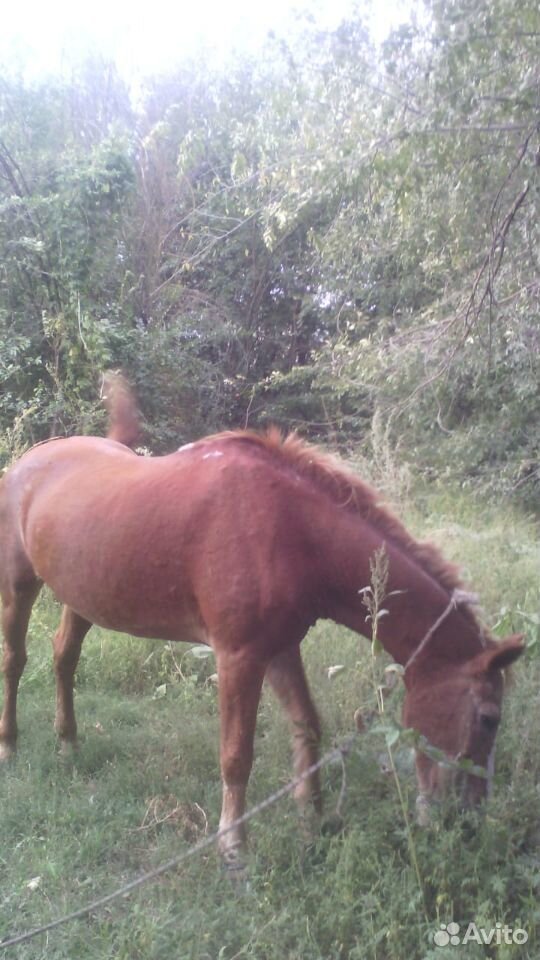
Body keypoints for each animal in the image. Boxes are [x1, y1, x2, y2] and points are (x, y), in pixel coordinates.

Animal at [0, 380, 524, 867]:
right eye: (488, 718)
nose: (469, 823)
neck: (291, 529)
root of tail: (32, 459)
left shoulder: (280, 647)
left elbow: (308, 725)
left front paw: (312, 818)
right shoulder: (238, 656)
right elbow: (236, 754)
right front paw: (234, 848)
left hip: (81, 596)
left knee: (64, 656)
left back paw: (68, 743)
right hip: (19, 585)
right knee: (15, 660)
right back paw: (10, 746)